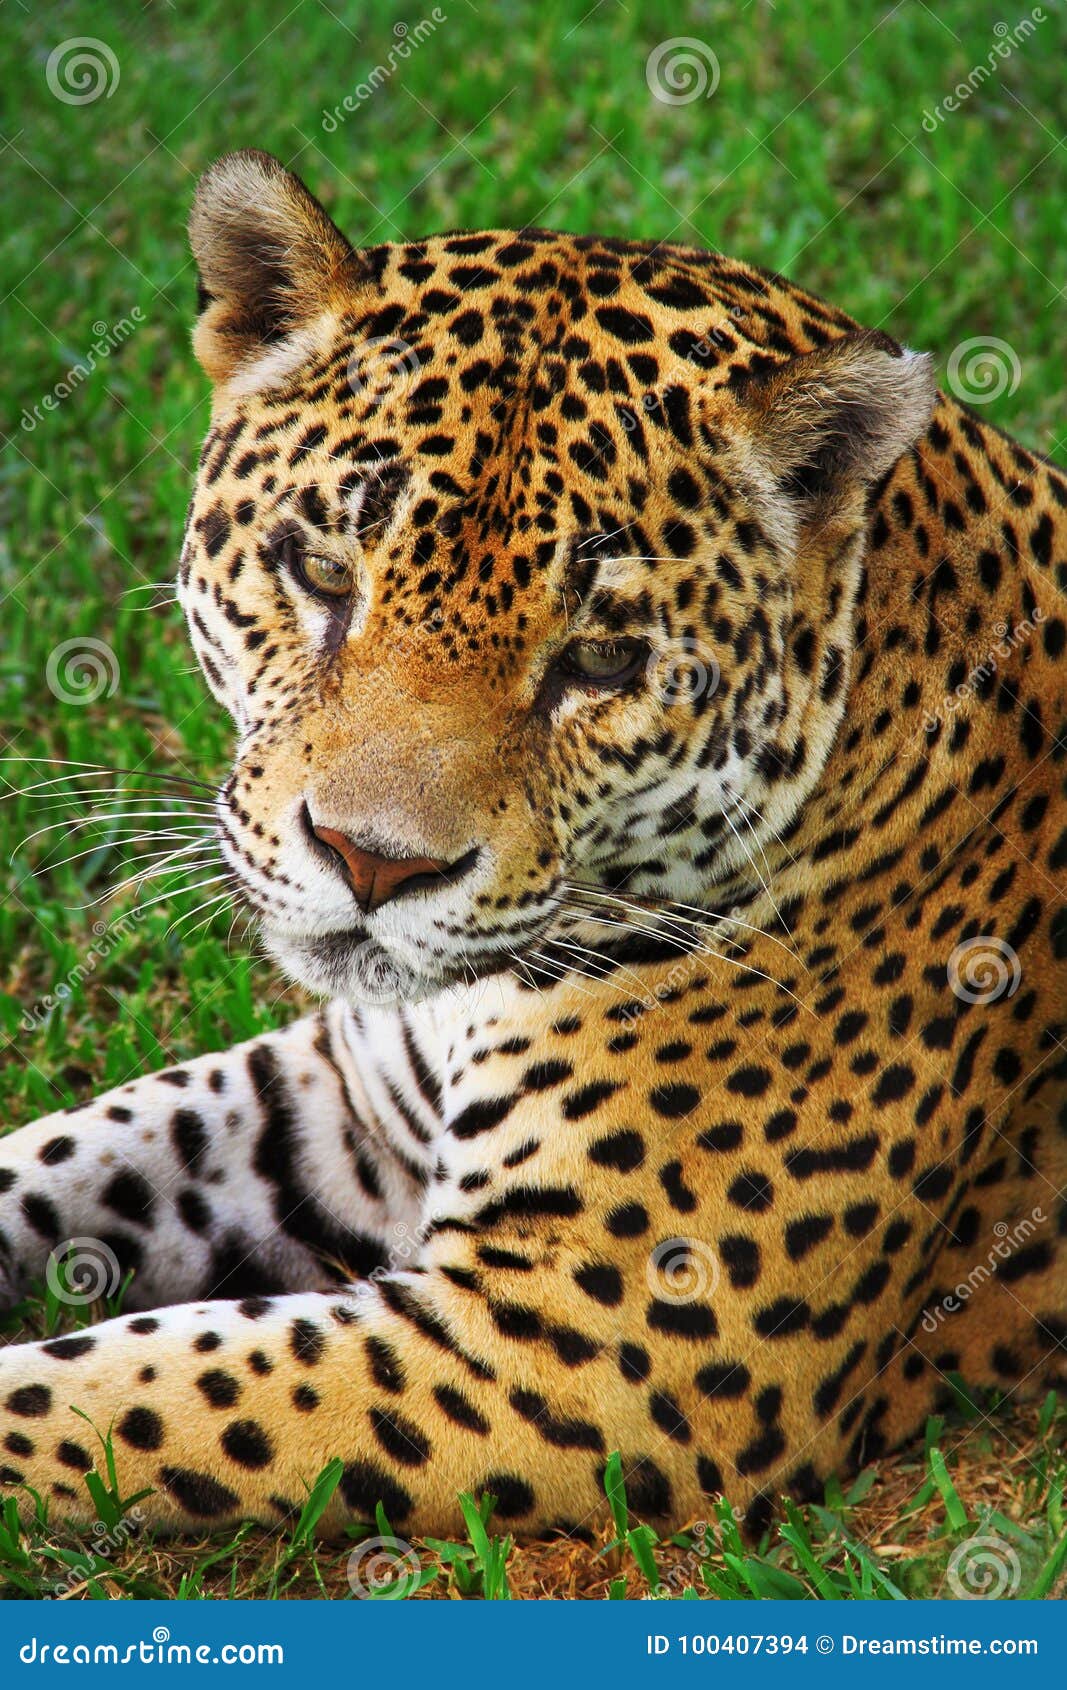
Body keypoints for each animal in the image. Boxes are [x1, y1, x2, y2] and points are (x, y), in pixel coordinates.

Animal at [1, 149, 1065, 1543]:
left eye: (600, 660)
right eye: (322, 572)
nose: (373, 864)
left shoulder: (587, 1350)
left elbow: (124, 1387)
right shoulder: (342, 1108)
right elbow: (72, 1159)